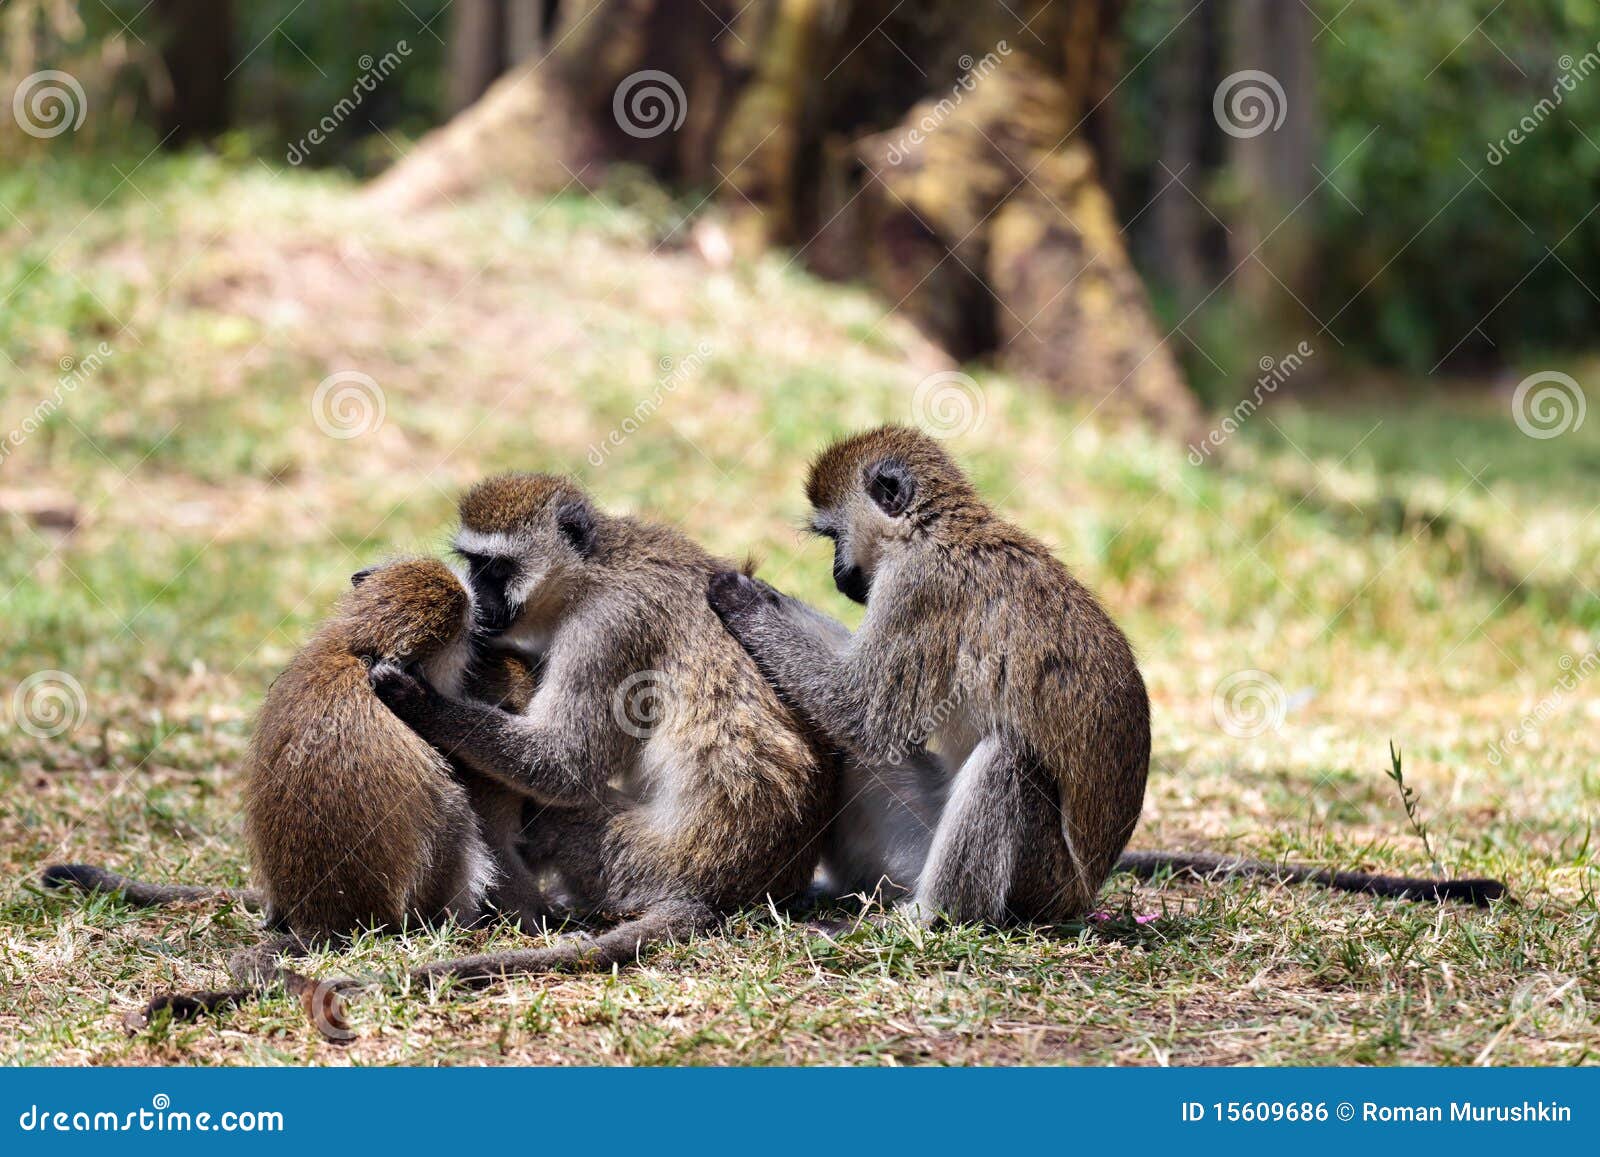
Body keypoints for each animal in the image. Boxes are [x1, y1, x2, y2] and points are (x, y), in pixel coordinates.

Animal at [359, 473, 836, 990]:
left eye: (496, 569)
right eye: (472, 562)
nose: (477, 603)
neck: (594, 570)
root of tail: (720, 894)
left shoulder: (605, 628)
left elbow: (566, 764)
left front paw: (418, 699)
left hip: (633, 859)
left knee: (555, 813)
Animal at [707, 425, 1508, 926]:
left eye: (833, 536)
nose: (840, 575)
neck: (939, 527)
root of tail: (1088, 884)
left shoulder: (920, 591)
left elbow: (866, 711)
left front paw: (737, 597)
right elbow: (859, 712)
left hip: (1040, 877)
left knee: (1007, 763)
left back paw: (932, 918)